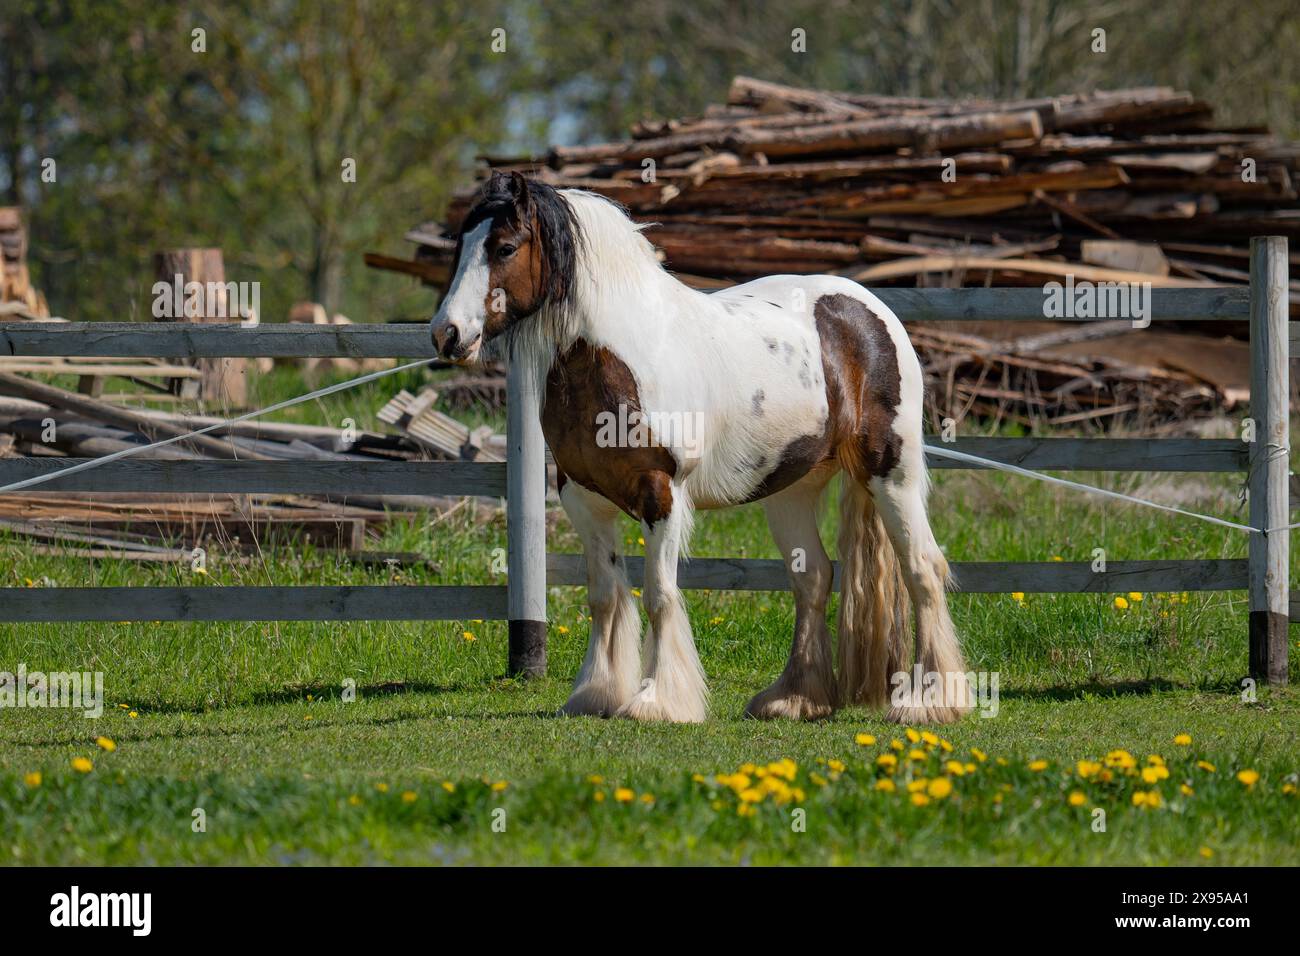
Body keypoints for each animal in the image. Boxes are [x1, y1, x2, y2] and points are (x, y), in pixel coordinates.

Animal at [430, 170, 972, 725]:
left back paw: (931, 703)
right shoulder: (582, 498)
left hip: (892, 473)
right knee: (814, 579)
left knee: (923, 569)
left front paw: (657, 701)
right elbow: (605, 596)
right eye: (460, 246)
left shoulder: (660, 494)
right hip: (791, 491)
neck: (619, 355)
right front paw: (596, 694)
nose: (446, 335)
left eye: (505, 247)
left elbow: (659, 595)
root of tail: (869, 310)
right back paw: (793, 699)